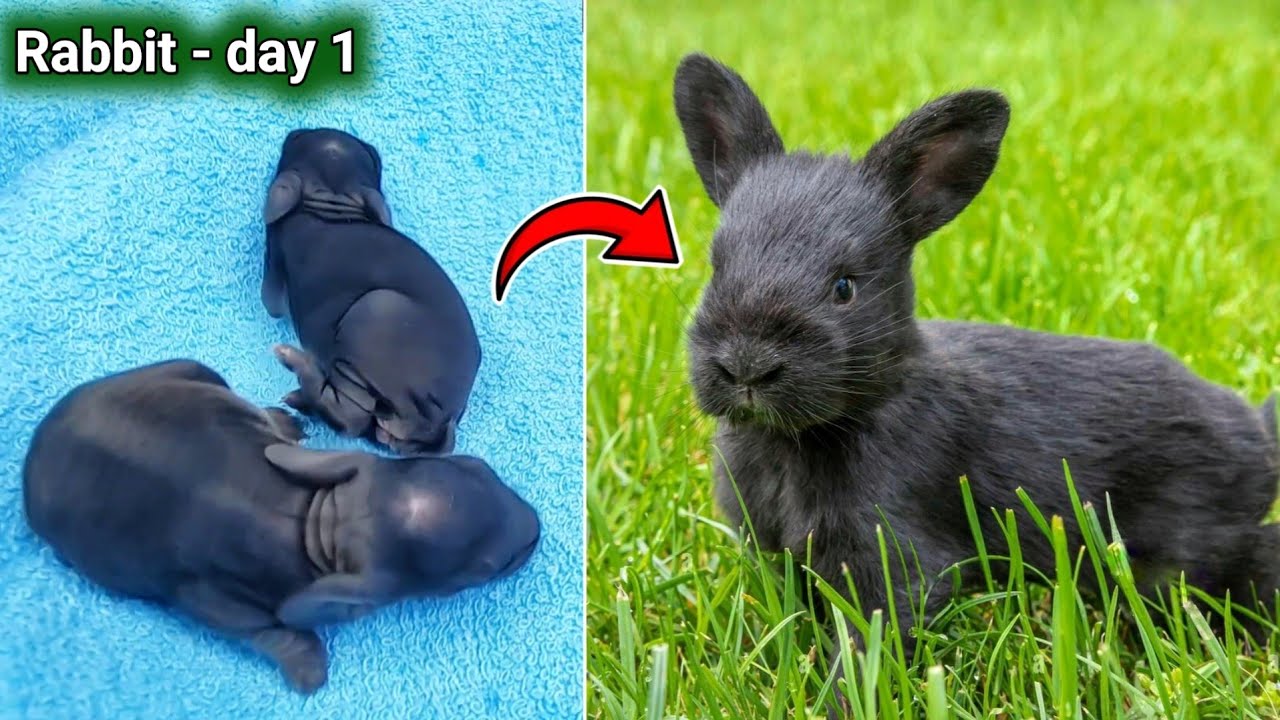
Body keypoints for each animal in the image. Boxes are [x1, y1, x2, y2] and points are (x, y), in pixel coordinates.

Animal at [23, 359, 539, 693]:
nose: (535, 527)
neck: (322, 518)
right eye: (487, 568)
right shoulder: (213, 595)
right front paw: (308, 664)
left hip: (184, 368)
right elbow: (265, 629)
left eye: (478, 467)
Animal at [262, 128, 481, 456]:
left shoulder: (273, 265)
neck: (333, 200)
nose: (294, 131)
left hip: (373, 315)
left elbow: (271, 302)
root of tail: (443, 419)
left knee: (350, 416)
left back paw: (296, 366)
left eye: (291, 143)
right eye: (372, 158)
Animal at [673, 51, 1280, 687]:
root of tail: (1258, 436)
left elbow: (865, 652)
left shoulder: (896, 558)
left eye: (844, 287)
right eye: (717, 267)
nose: (747, 366)